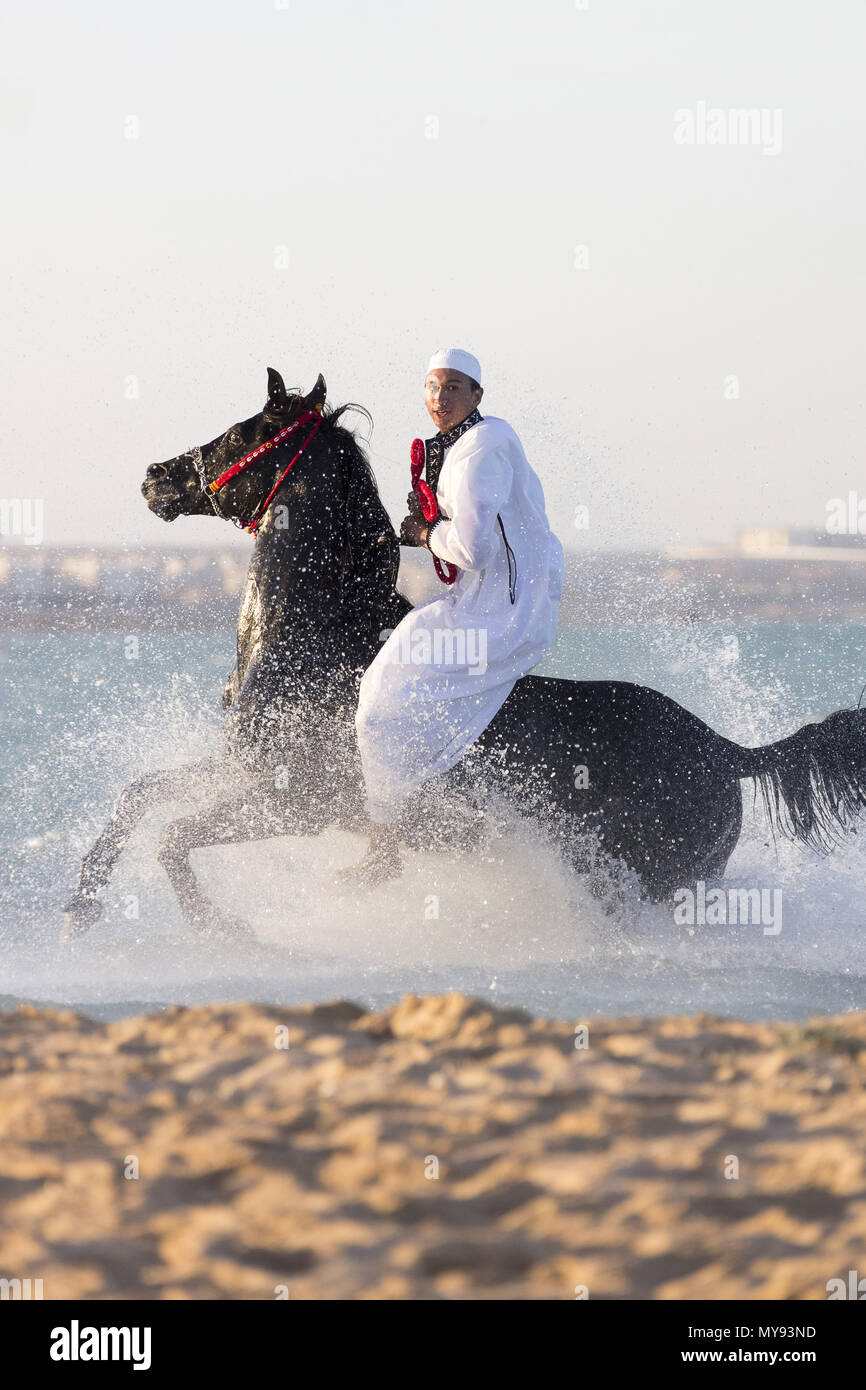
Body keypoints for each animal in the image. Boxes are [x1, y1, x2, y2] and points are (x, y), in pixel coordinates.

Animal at [63, 368, 866, 939]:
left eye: (244, 430)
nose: (154, 477)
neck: (310, 637)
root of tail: (726, 749)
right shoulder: (245, 770)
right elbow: (140, 796)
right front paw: (82, 906)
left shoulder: (298, 801)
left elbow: (173, 838)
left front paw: (220, 925)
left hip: (640, 881)